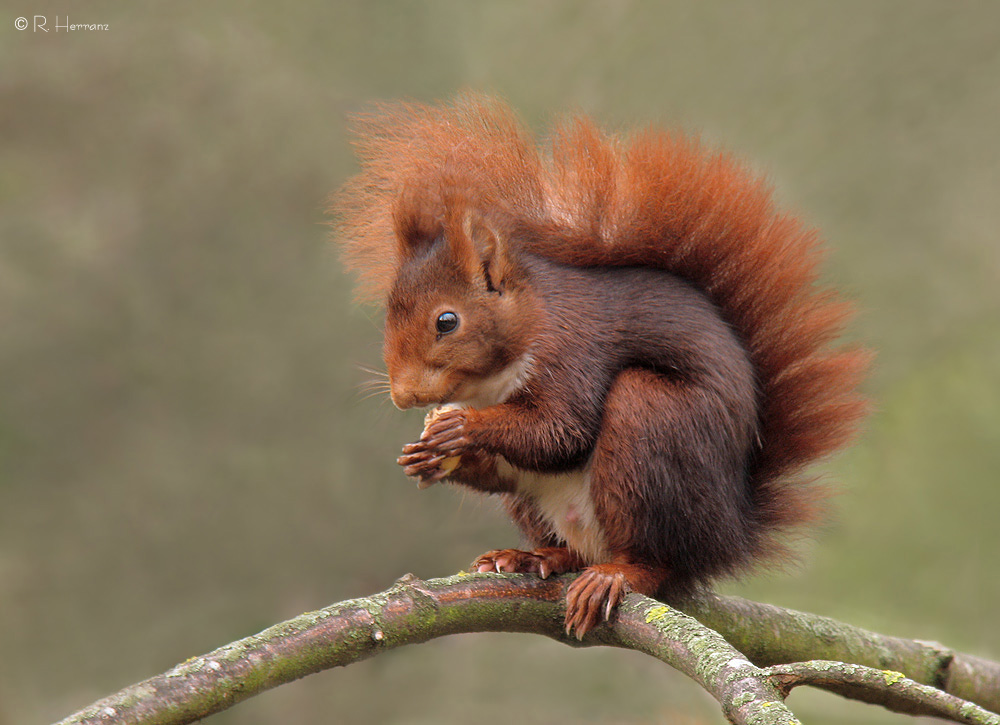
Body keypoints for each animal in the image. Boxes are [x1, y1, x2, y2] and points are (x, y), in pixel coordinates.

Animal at [333, 95, 869, 638]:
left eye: (447, 321)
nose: (404, 396)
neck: (496, 379)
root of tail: (729, 533)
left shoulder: (573, 354)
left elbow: (560, 433)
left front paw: (462, 427)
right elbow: (511, 464)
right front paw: (427, 458)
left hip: (650, 426)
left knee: (658, 560)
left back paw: (617, 574)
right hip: (541, 507)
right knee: (566, 543)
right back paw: (534, 557)